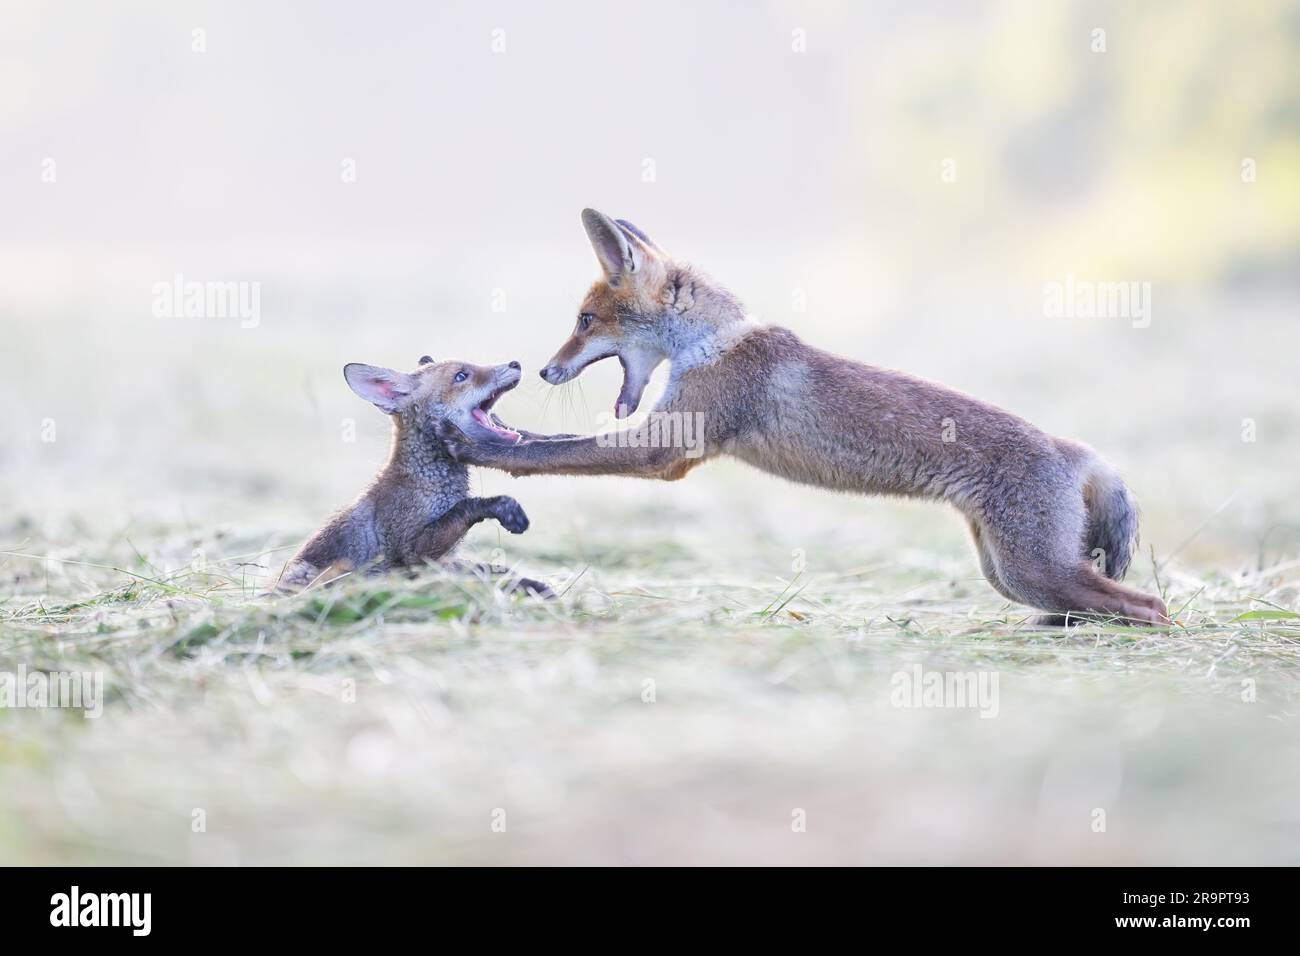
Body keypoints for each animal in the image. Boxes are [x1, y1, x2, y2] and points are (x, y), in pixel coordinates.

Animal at [278, 355, 550, 596]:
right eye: (461, 376)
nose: (516, 363)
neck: (427, 479)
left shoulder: (446, 560)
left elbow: (489, 571)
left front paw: (533, 586)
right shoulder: (412, 551)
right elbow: (465, 507)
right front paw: (504, 507)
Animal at [437, 208, 1169, 626]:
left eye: (585, 321)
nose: (543, 370)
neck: (714, 342)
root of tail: (1071, 449)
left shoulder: (664, 451)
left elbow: (553, 449)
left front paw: (482, 447)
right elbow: (560, 440)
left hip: (1031, 570)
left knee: (1151, 603)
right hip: (1014, 575)